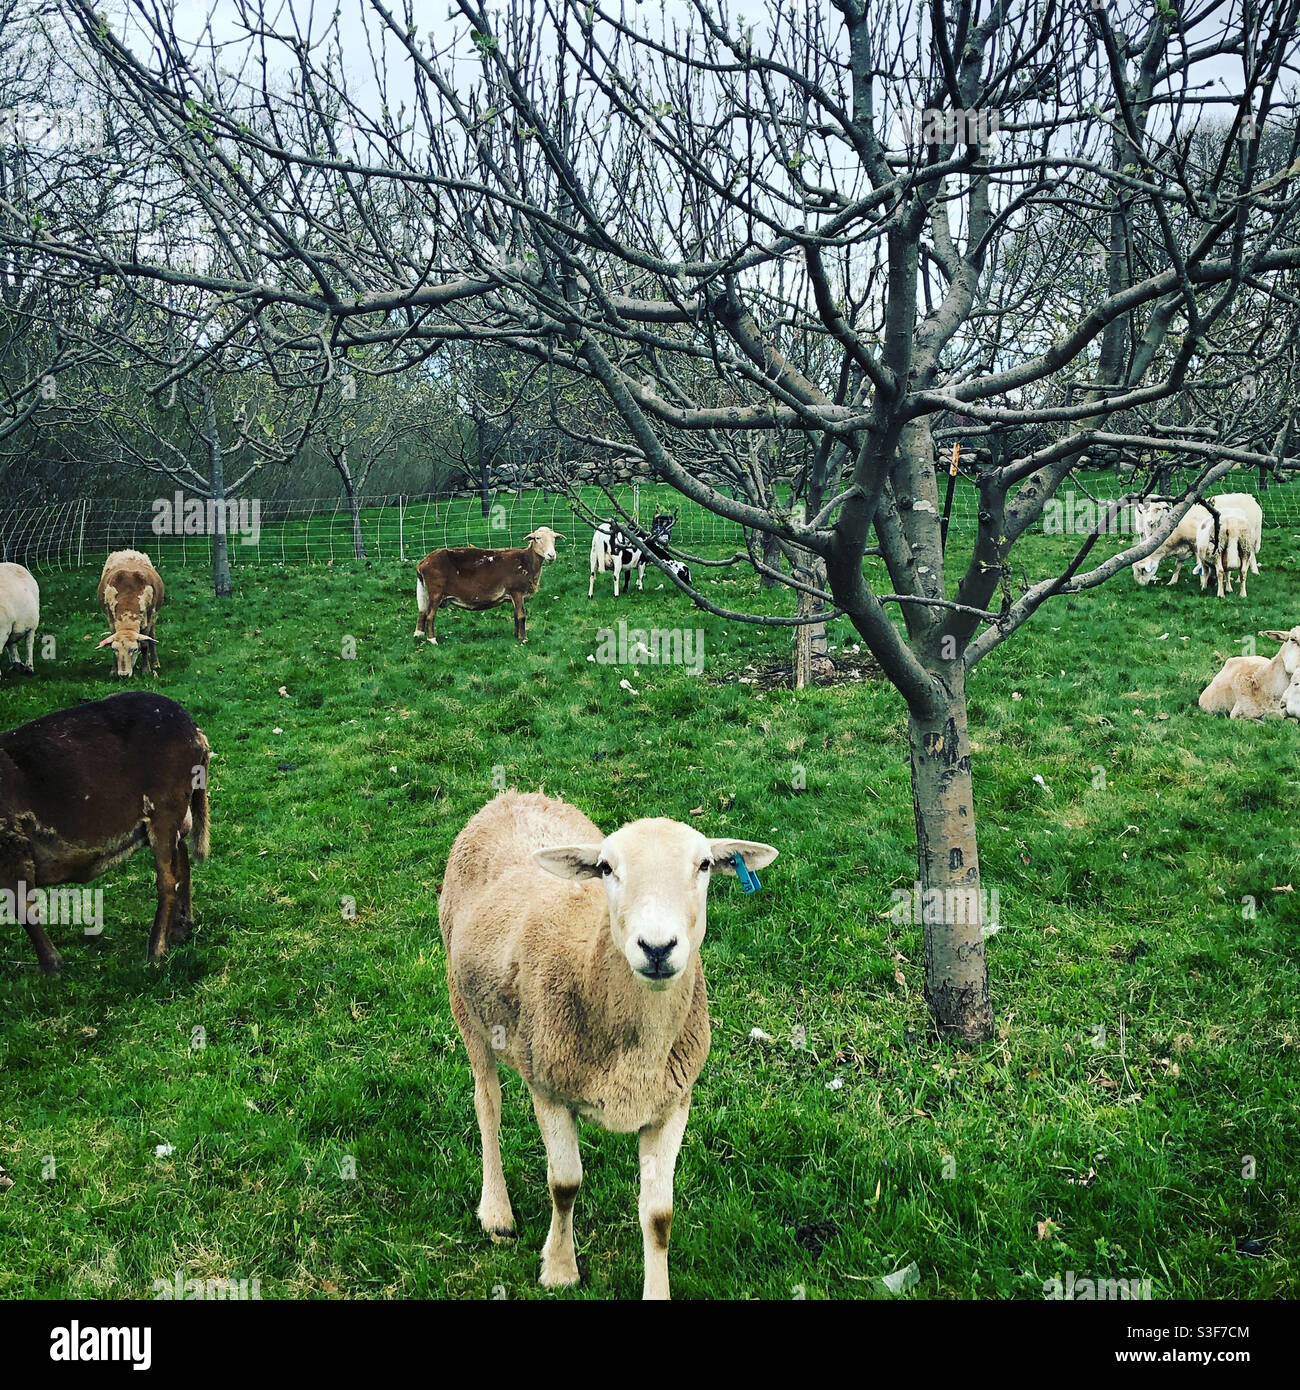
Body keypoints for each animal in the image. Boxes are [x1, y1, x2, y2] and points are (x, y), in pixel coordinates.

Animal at [415, 527, 562, 644]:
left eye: (554, 538)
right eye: (537, 538)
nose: (551, 555)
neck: (526, 561)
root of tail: (423, 563)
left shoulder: (513, 595)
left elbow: (515, 614)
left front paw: (516, 636)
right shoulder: (517, 591)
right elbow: (521, 615)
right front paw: (524, 639)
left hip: (425, 591)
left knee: (422, 612)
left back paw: (419, 635)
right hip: (436, 592)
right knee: (430, 615)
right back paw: (432, 640)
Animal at [438, 789, 778, 1300]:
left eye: (703, 864)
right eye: (605, 868)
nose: (656, 947)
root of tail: (513, 795)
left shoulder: (672, 1104)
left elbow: (659, 1216)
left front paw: (656, 1290)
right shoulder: (551, 1093)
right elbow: (565, 1184)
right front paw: (560, 1269)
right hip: (466, 1008)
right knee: (487, 1103)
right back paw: (496, 1211)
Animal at [1132, 493, 1262, 587]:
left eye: (1143, 570)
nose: (1140, 585)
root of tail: (1251, 498)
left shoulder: (1198, 547)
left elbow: (1201, 566)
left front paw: (1203, 582)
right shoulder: (1183, 550)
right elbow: (1177, 566)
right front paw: (1172, 581)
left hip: (1249, 537)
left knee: (1249, 555)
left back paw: (1246, 575)